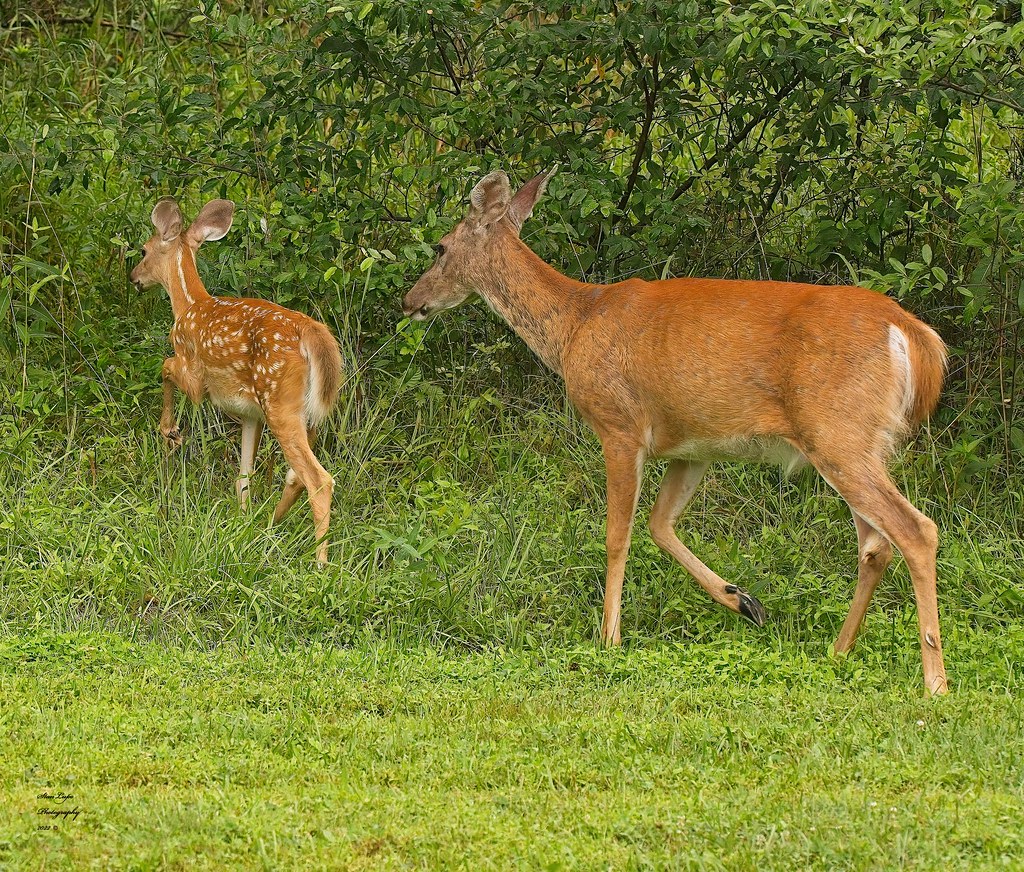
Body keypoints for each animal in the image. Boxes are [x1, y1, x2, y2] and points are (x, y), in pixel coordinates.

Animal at [131, 197, 343, 565]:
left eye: (144, 250)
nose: (134, 279)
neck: (189, 305)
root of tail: (311, 332)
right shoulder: (250, 414)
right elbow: (244, 472)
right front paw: (242, 519)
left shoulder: (193, 372)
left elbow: (165, 367)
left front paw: (170, 431)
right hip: (309, 413)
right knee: (296, 475)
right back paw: (270, 526)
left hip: (279, 401)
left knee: (318, 479)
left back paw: (320, 563)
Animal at [403, 168, 950, 696]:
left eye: (441, 247)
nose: (409, 300)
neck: (574, 325)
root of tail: (914, 337)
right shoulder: (693, 444)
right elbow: (659, 524)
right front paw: (744, 601)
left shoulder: (620, 425)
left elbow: (617, 534)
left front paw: (609, 638)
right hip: (857, 440)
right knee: (875, 545)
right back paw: (839, 650)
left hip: (839, 432)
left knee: (915, 530)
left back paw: (934, 681)